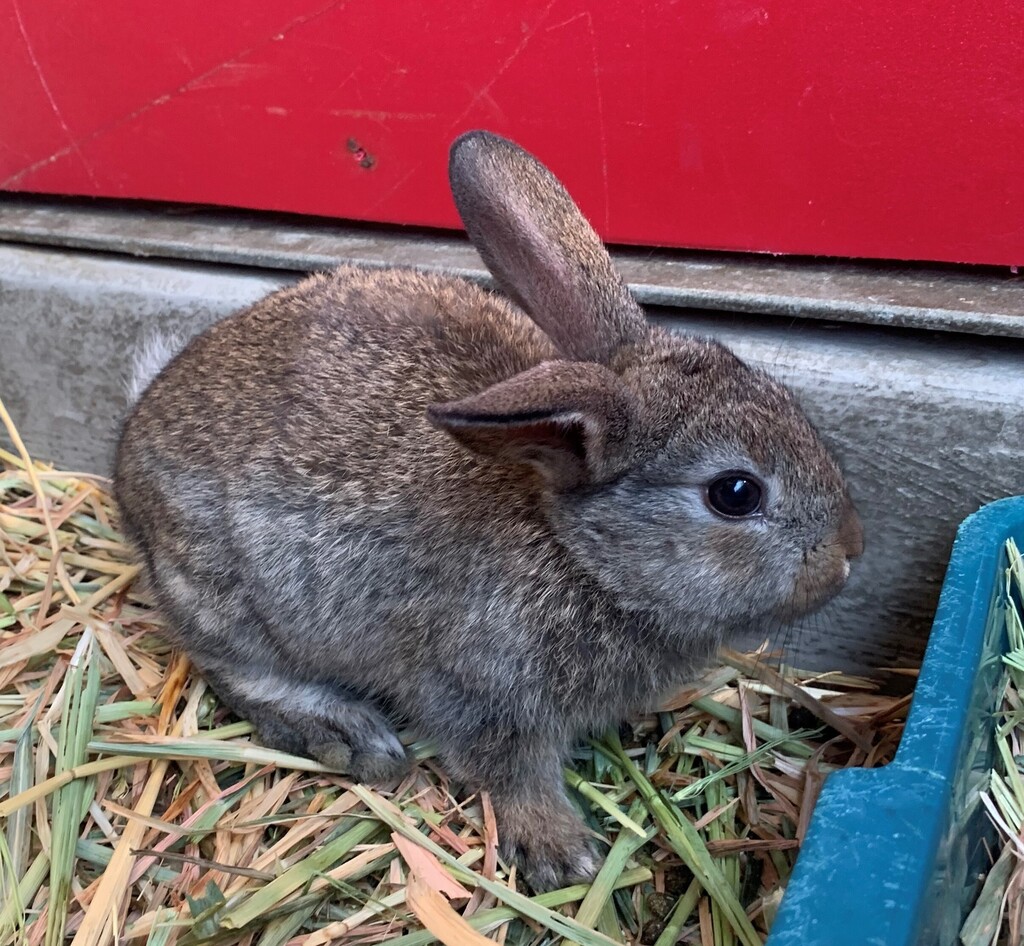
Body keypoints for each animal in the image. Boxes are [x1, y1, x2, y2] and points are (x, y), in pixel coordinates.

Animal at [114, 130, 863, 890]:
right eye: (736, 494)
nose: (849, 554)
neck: (578, 552)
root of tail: (132, 454)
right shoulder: (481, 694)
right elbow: (510, 773)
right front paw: (563, 854)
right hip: (232, 599)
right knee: (236, 669)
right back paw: (350, 736)